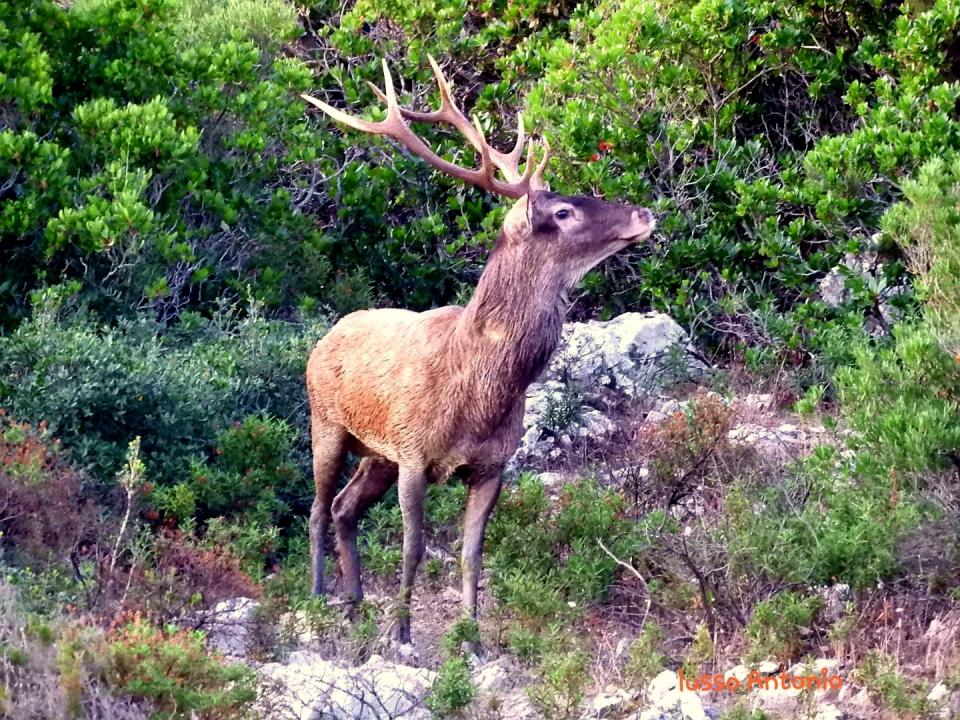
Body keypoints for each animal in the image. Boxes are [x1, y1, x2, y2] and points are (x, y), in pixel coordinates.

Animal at [301, 57, 655, 646]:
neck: (479, 388)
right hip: (326, 424)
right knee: (318, 508)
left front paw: (472, 639)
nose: (645, 213)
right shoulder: (414, 454)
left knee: (345, 509)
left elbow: (473, 555)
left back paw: (354, 602)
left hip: (376, 454)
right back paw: (320, 596)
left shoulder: (493, 464)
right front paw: (401, 636)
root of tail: (324, 338)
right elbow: (414, 548)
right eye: (563, 212)